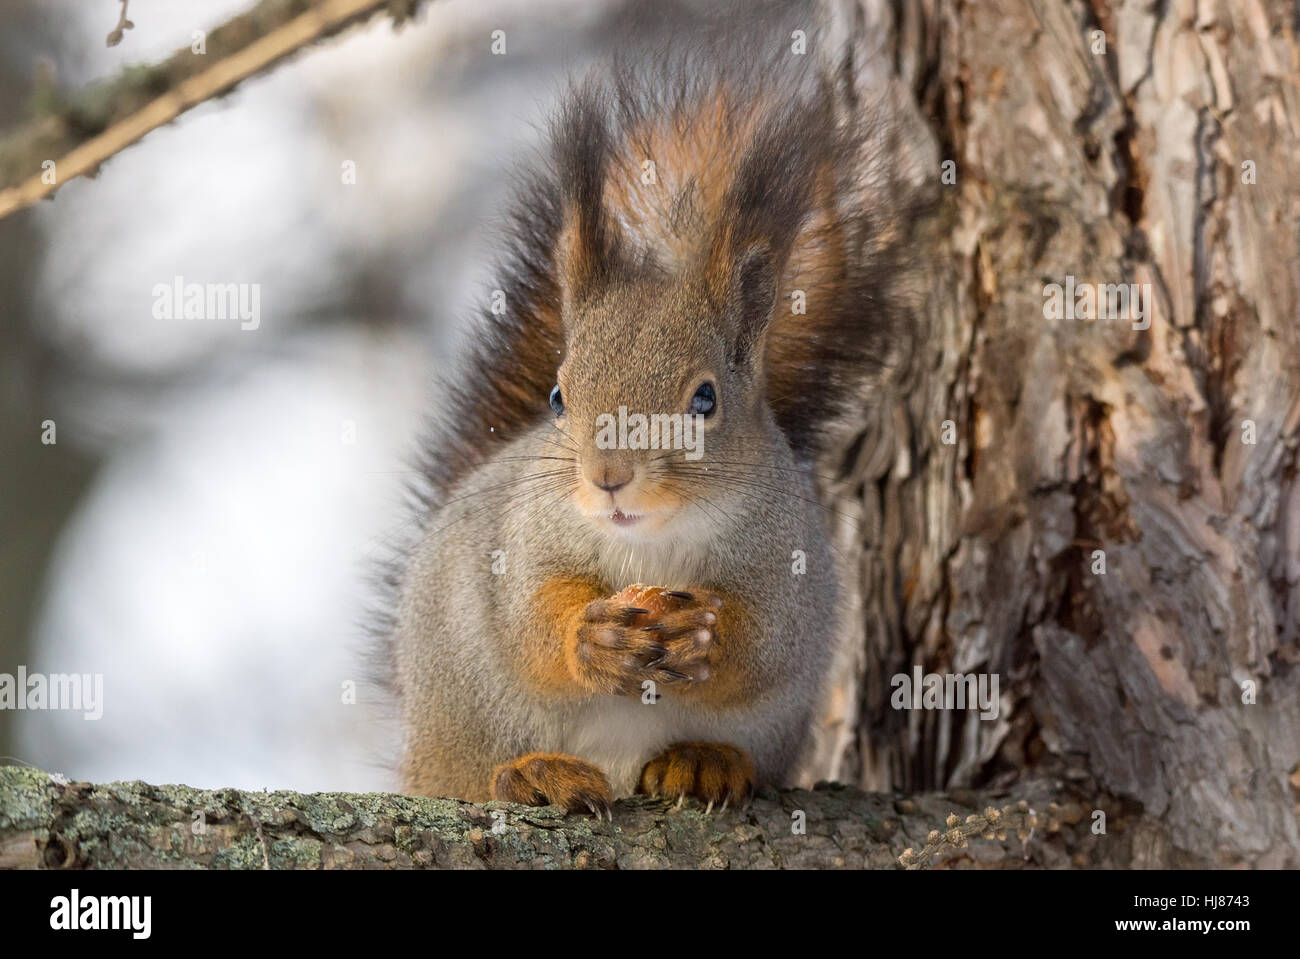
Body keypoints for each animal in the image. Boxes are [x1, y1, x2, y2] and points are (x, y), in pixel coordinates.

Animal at [385, 11, 924, 815]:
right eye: (557, 398)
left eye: (705, 400)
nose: (609, 478)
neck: (651, 543)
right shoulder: (522, 542)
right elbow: (527, 619)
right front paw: (591, 638)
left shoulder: (787, 563)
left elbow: (766, 646)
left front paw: (708, 638)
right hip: (461, 718)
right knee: (473, 773)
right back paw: (530, 773)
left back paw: (702, 761)